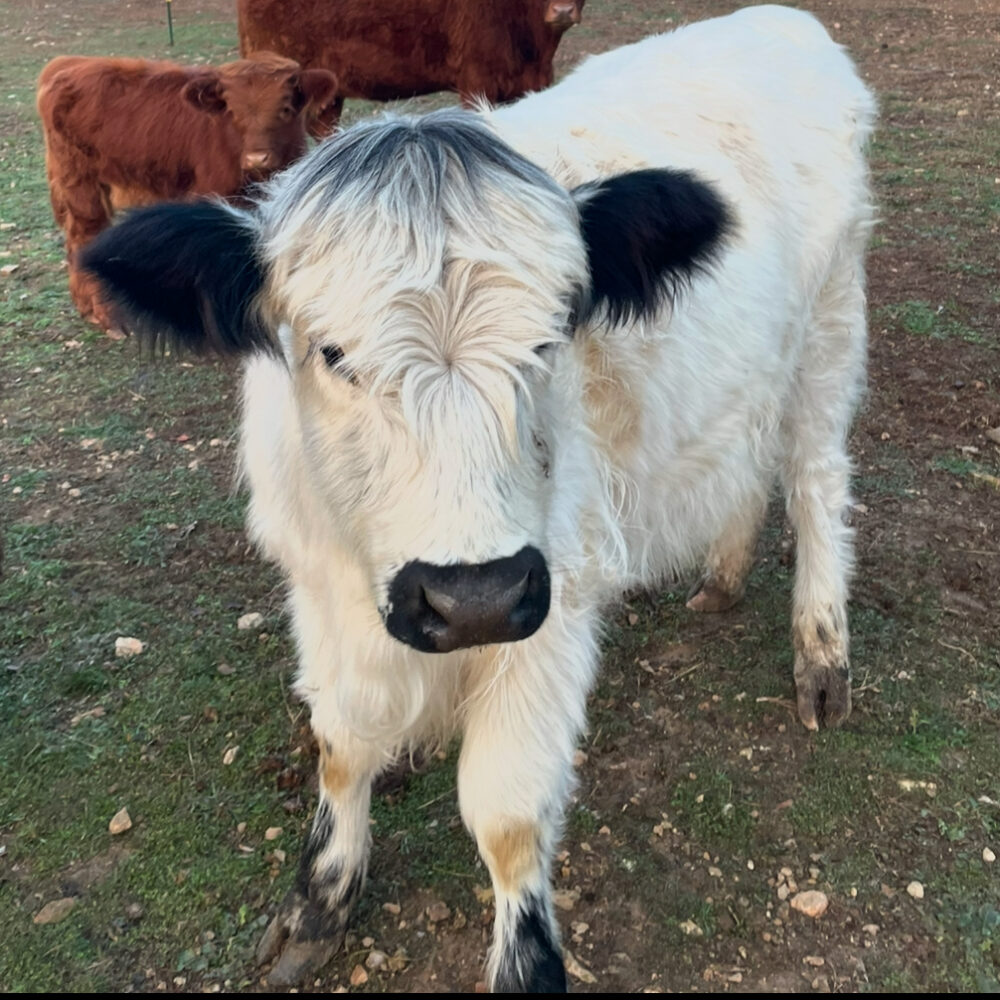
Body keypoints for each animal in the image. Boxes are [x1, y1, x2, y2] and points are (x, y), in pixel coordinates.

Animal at [36, 52, 337, 332]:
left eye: (285, 108)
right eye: (233, 111)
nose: (257, 158)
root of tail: (69, 63)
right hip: (81, 187)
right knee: (83, 239)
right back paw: (106, 316)